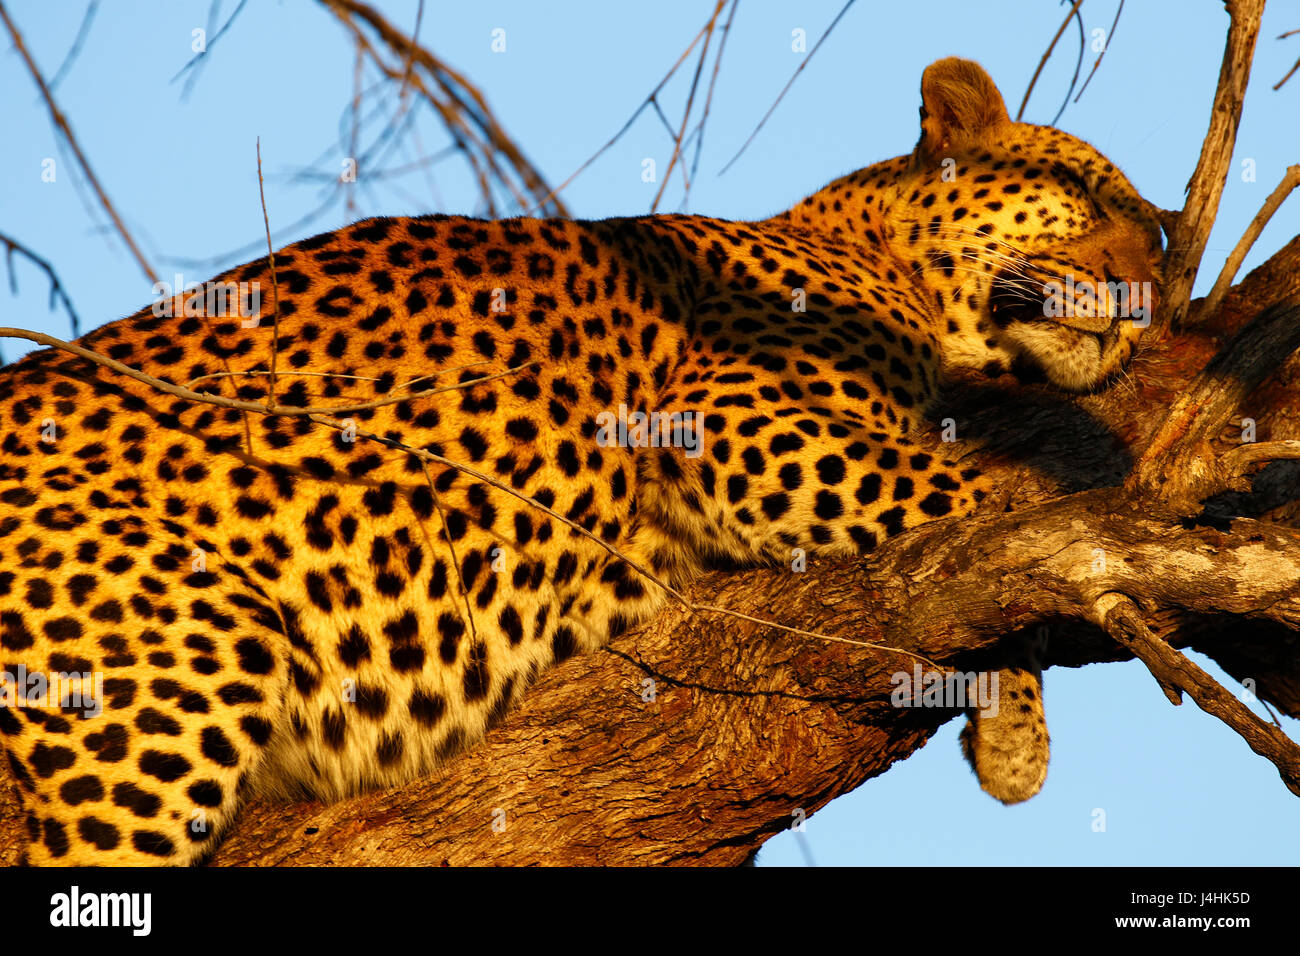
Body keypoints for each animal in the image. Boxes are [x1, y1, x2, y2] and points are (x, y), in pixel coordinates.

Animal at [0, 57, 1163, 865]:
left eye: (1152, 234)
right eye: (1082, 191)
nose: (1151, 284)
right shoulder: (735, 420)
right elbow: (995, 518)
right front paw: (1019, 737)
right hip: (183, 664)